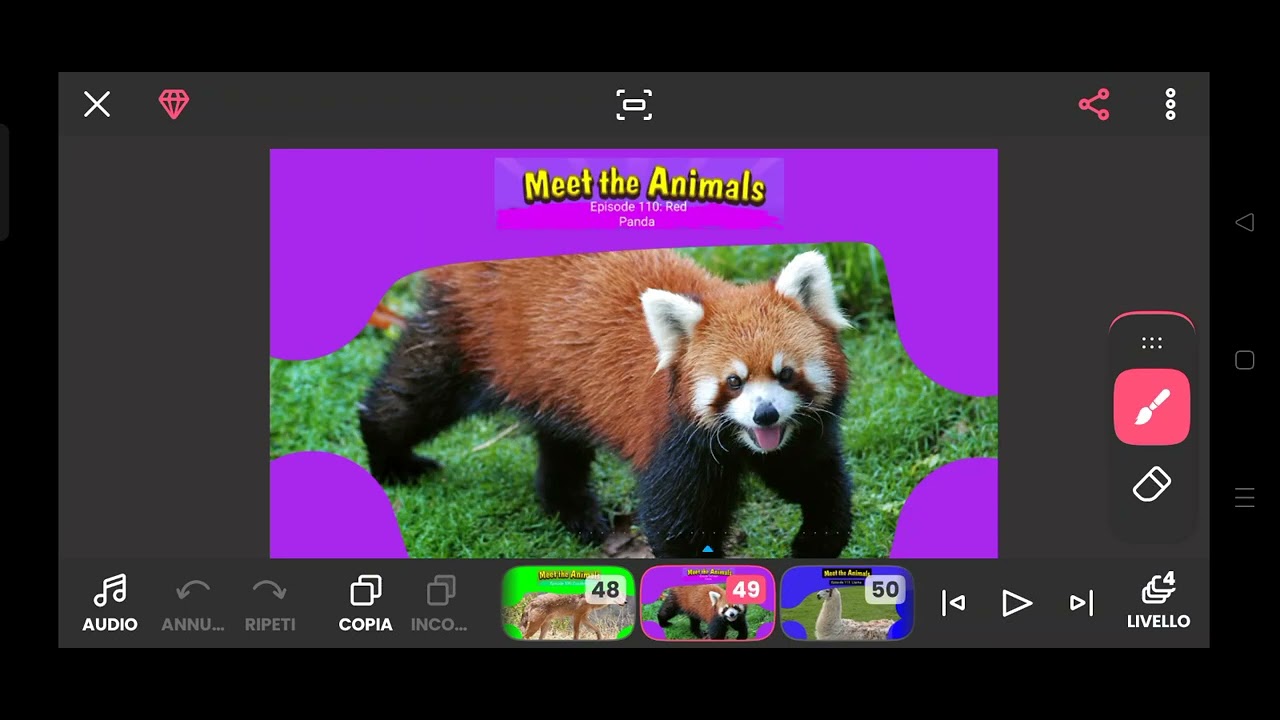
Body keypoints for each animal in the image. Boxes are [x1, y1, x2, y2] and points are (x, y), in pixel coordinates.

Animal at [359, 249, 853, 557]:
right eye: (734, 381)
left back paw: (572, 511)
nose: (764, 413)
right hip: (469, 334)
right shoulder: (674, 441)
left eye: (785, 373)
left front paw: (819, 540)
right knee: (415, 392)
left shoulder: (796, 435)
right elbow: (680, 525)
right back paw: (390, 458)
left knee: (560, 444)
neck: (739, 441)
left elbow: (811, 476)